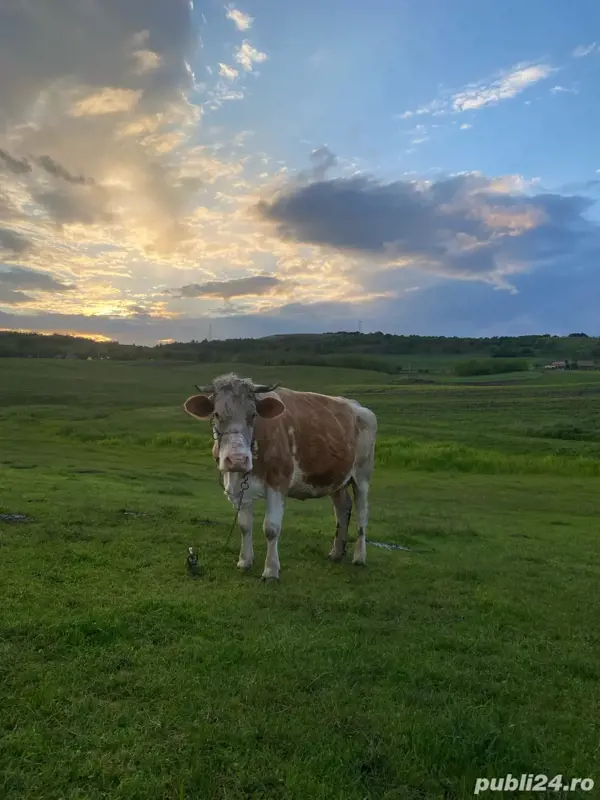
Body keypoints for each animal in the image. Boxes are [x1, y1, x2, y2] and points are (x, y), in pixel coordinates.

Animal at [183, 373, 378, 581]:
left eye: (253, 415)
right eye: (216, 414)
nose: (237, 459)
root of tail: (359, 407)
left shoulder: (278, 482)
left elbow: (271, 528)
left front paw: (271, 570)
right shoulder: (237, 486)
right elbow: (244, 525)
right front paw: (244, 561)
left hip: (362, 476)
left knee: (362, 512)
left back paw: (359, 556)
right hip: (336, 478)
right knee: (342, 507)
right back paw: (336, 552)